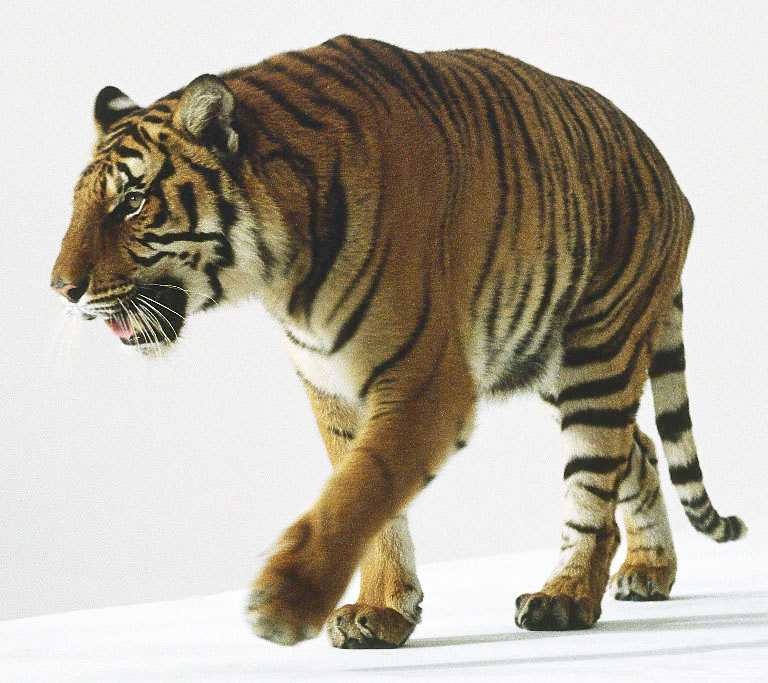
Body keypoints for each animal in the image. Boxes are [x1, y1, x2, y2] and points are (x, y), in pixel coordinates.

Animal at [51, 35, 746, 648]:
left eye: (133, 201)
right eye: (84, 202)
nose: (61, 289)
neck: (280, 272)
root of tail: (664, 168)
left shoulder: (424, 382)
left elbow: (361, 488)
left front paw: (284, 601)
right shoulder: (332, 385)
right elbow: (365, 496)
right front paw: (382, 610)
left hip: (597, 349)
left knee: (595, 475)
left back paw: (567, 596)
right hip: (549, 354)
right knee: (642, 449)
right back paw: (649, 569)